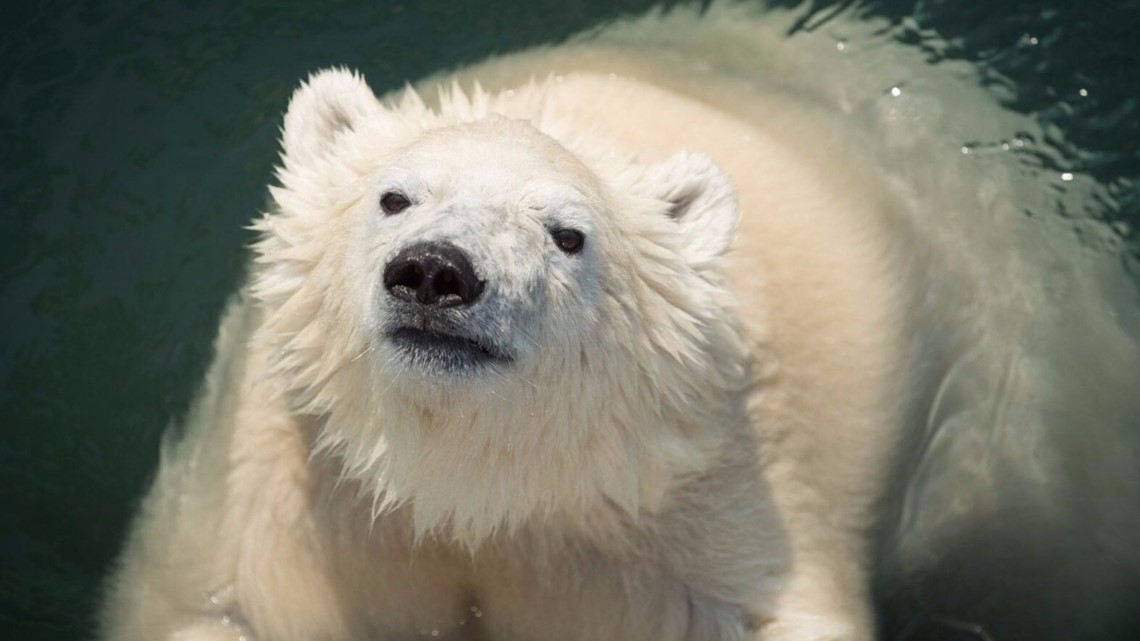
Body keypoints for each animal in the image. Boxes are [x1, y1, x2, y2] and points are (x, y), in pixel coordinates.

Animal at [97, 4, 1140, 641]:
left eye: (568, 234)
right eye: (394, 196)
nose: (436, 274)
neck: (482, 487)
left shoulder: (697, 508)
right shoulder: (297, 486)